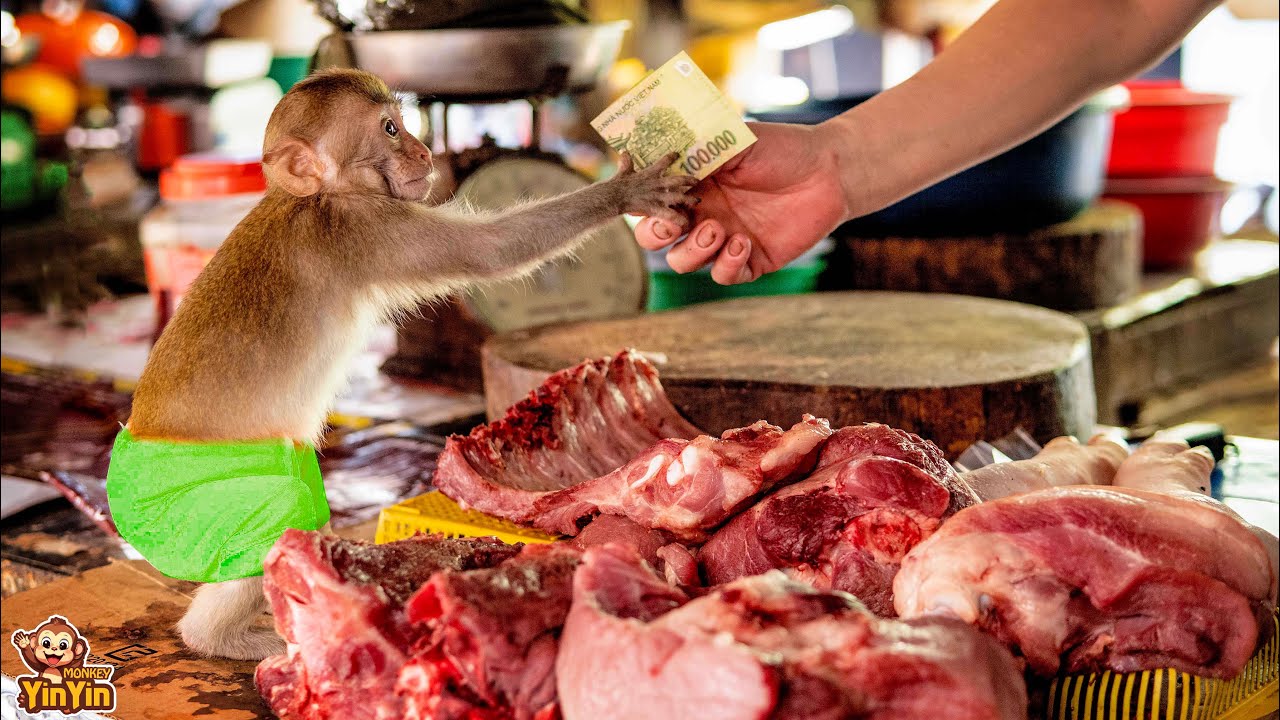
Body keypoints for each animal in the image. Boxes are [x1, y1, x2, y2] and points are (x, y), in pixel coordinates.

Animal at [103, 69, 697, 661]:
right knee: (281, 510)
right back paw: (224, 638)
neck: (321, 196)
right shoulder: (369, 227)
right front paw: (624, 192)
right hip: (176, 502)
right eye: (390, 129)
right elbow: (493, 250)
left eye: (405, 124)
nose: (423, 151)